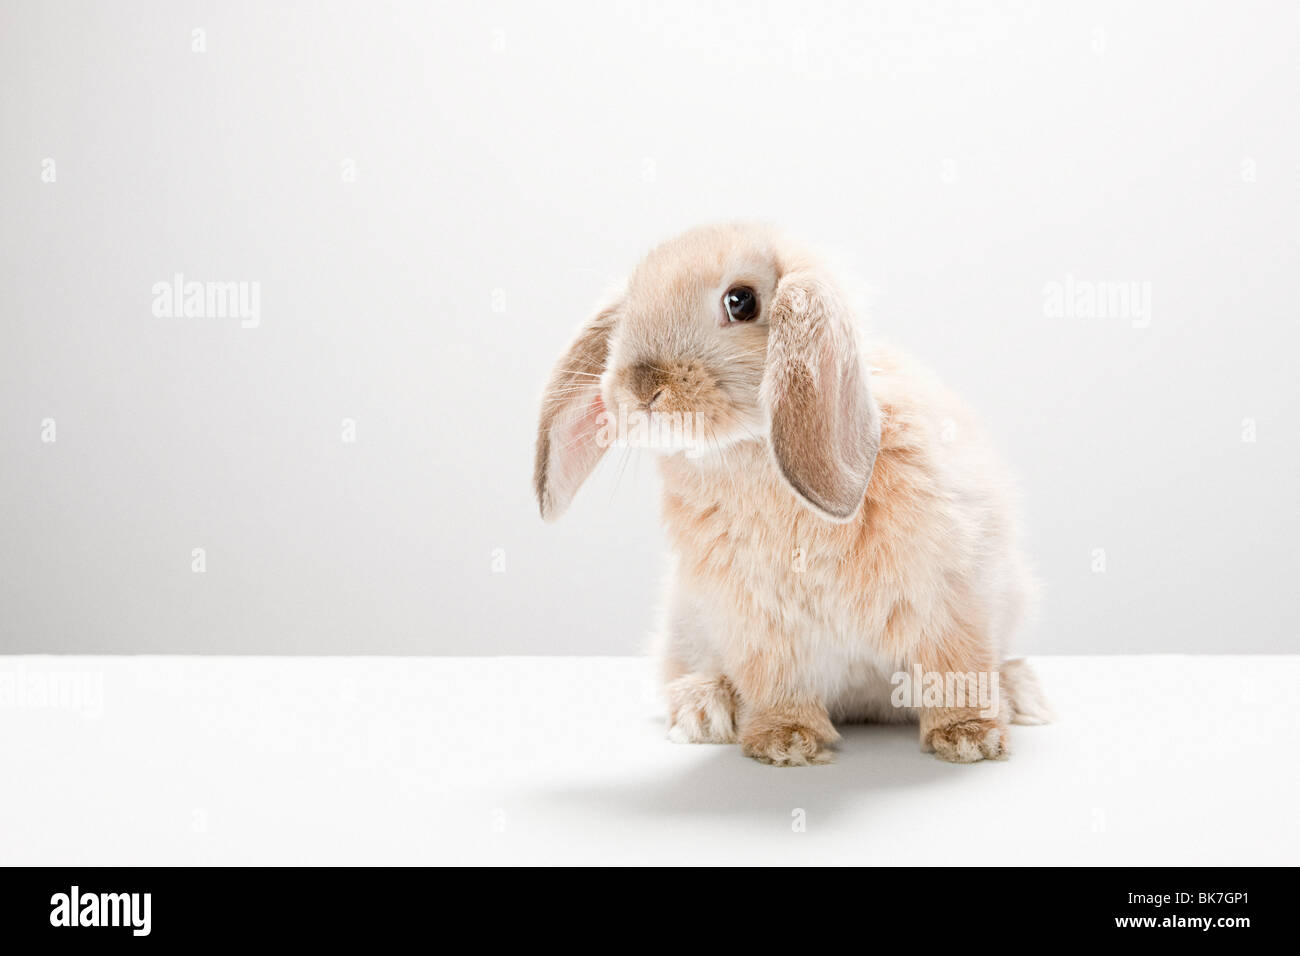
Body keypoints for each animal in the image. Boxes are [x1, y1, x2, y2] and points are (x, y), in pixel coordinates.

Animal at [534, 223, 1050, 766]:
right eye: (628, 309)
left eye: (740, 301)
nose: (640, 388)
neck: (750, 454)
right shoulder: (756, 622)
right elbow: (775, 683)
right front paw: (784, 744)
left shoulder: (950, 599)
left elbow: (955, 668)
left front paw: (970, 739)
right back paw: (703, 710)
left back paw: (1020, 695)